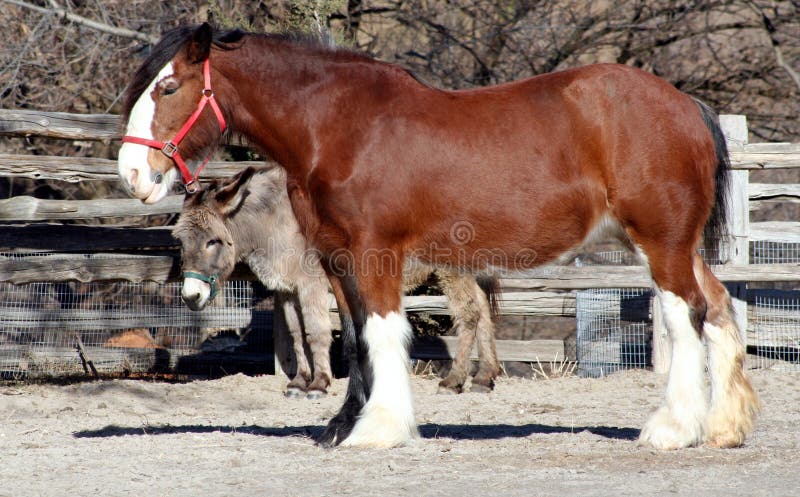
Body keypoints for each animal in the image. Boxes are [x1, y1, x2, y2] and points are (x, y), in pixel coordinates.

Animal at [172, 165, 500, 397]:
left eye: (212, 241)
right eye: (180, 241)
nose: (190, 297)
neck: (276, 223)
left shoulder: (311, 284)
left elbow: (316, 331)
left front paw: (318, 384)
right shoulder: (287, 289)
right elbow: (296, 333)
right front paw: (299, 382)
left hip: (452, 267)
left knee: (469, 314)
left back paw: (454, 380)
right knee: (484, 310)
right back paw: (484, 377)